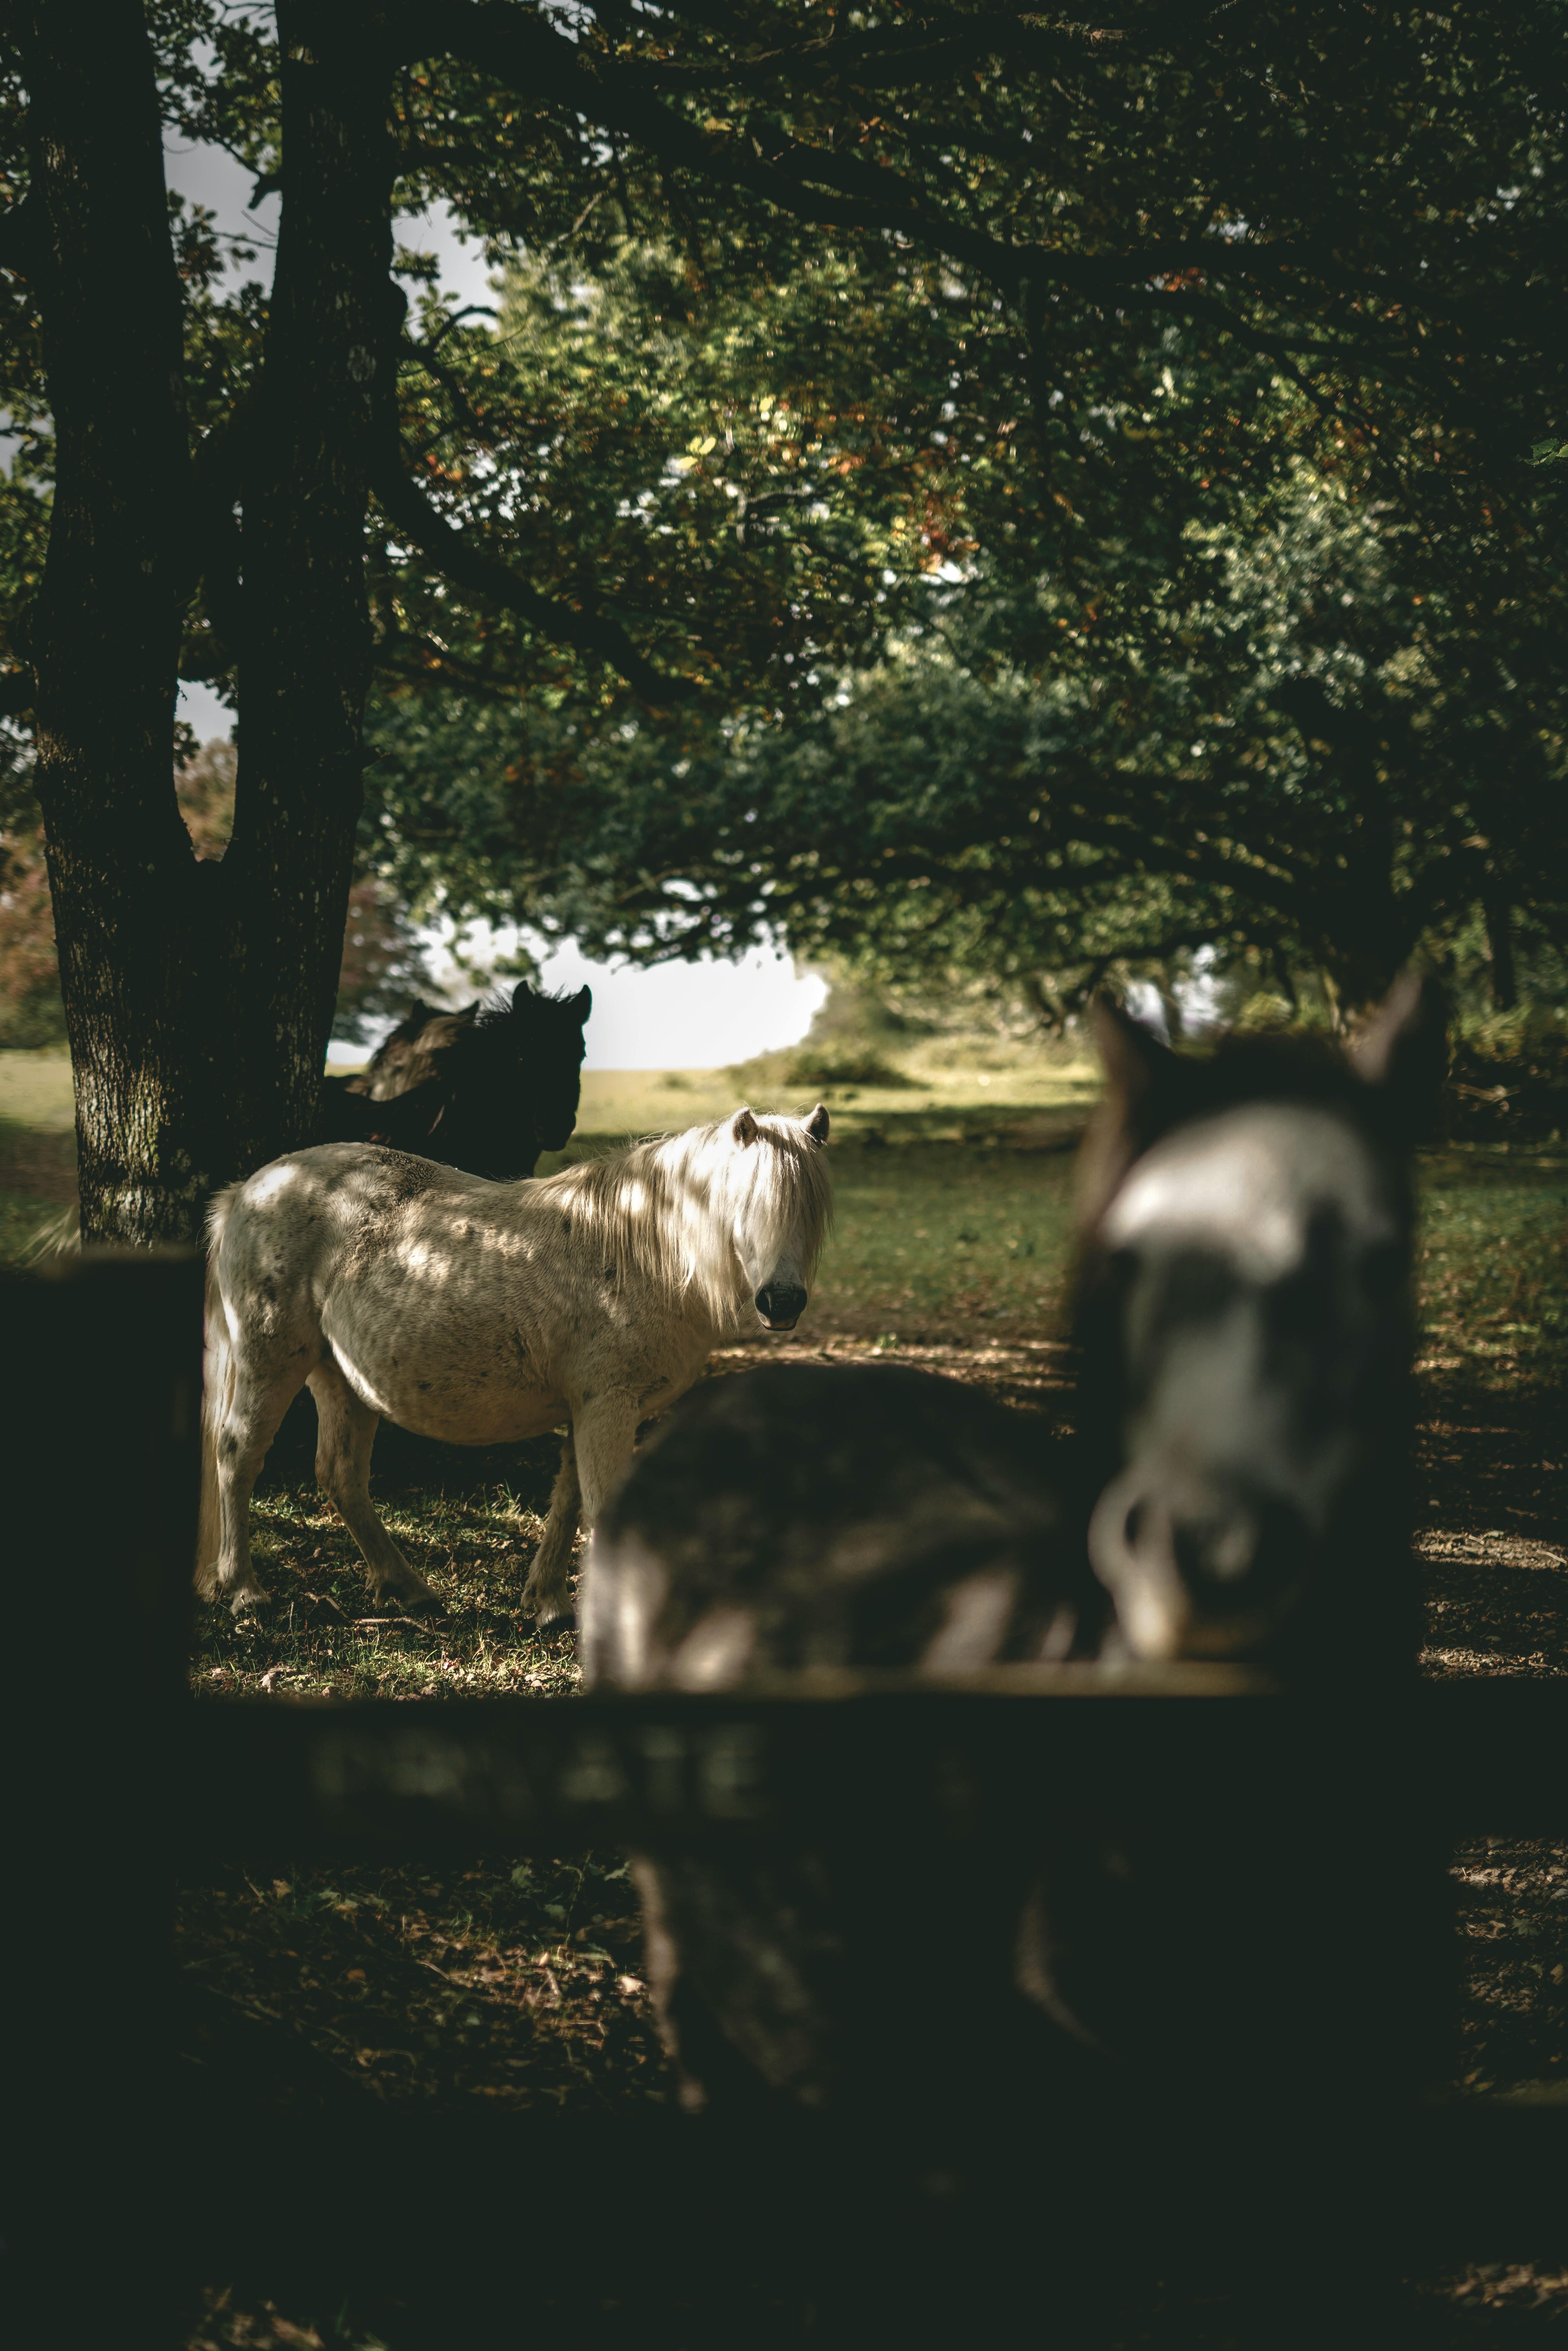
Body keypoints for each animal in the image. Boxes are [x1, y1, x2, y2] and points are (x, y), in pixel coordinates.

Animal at [196, 1104, 832, 1624]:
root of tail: (248, 1190)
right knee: (238, 1454)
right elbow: (600, 1507)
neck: (643, 1252)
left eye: (809, 1212)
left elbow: (568, 1501)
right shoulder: (608, 1407)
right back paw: (245, 1590)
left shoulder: (587, 1410)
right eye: (747, 1206)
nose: (781, 1302)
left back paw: (408, 1588)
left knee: (340, 1474)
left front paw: (546, 1603)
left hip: (341, 1377)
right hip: (270, 1359)